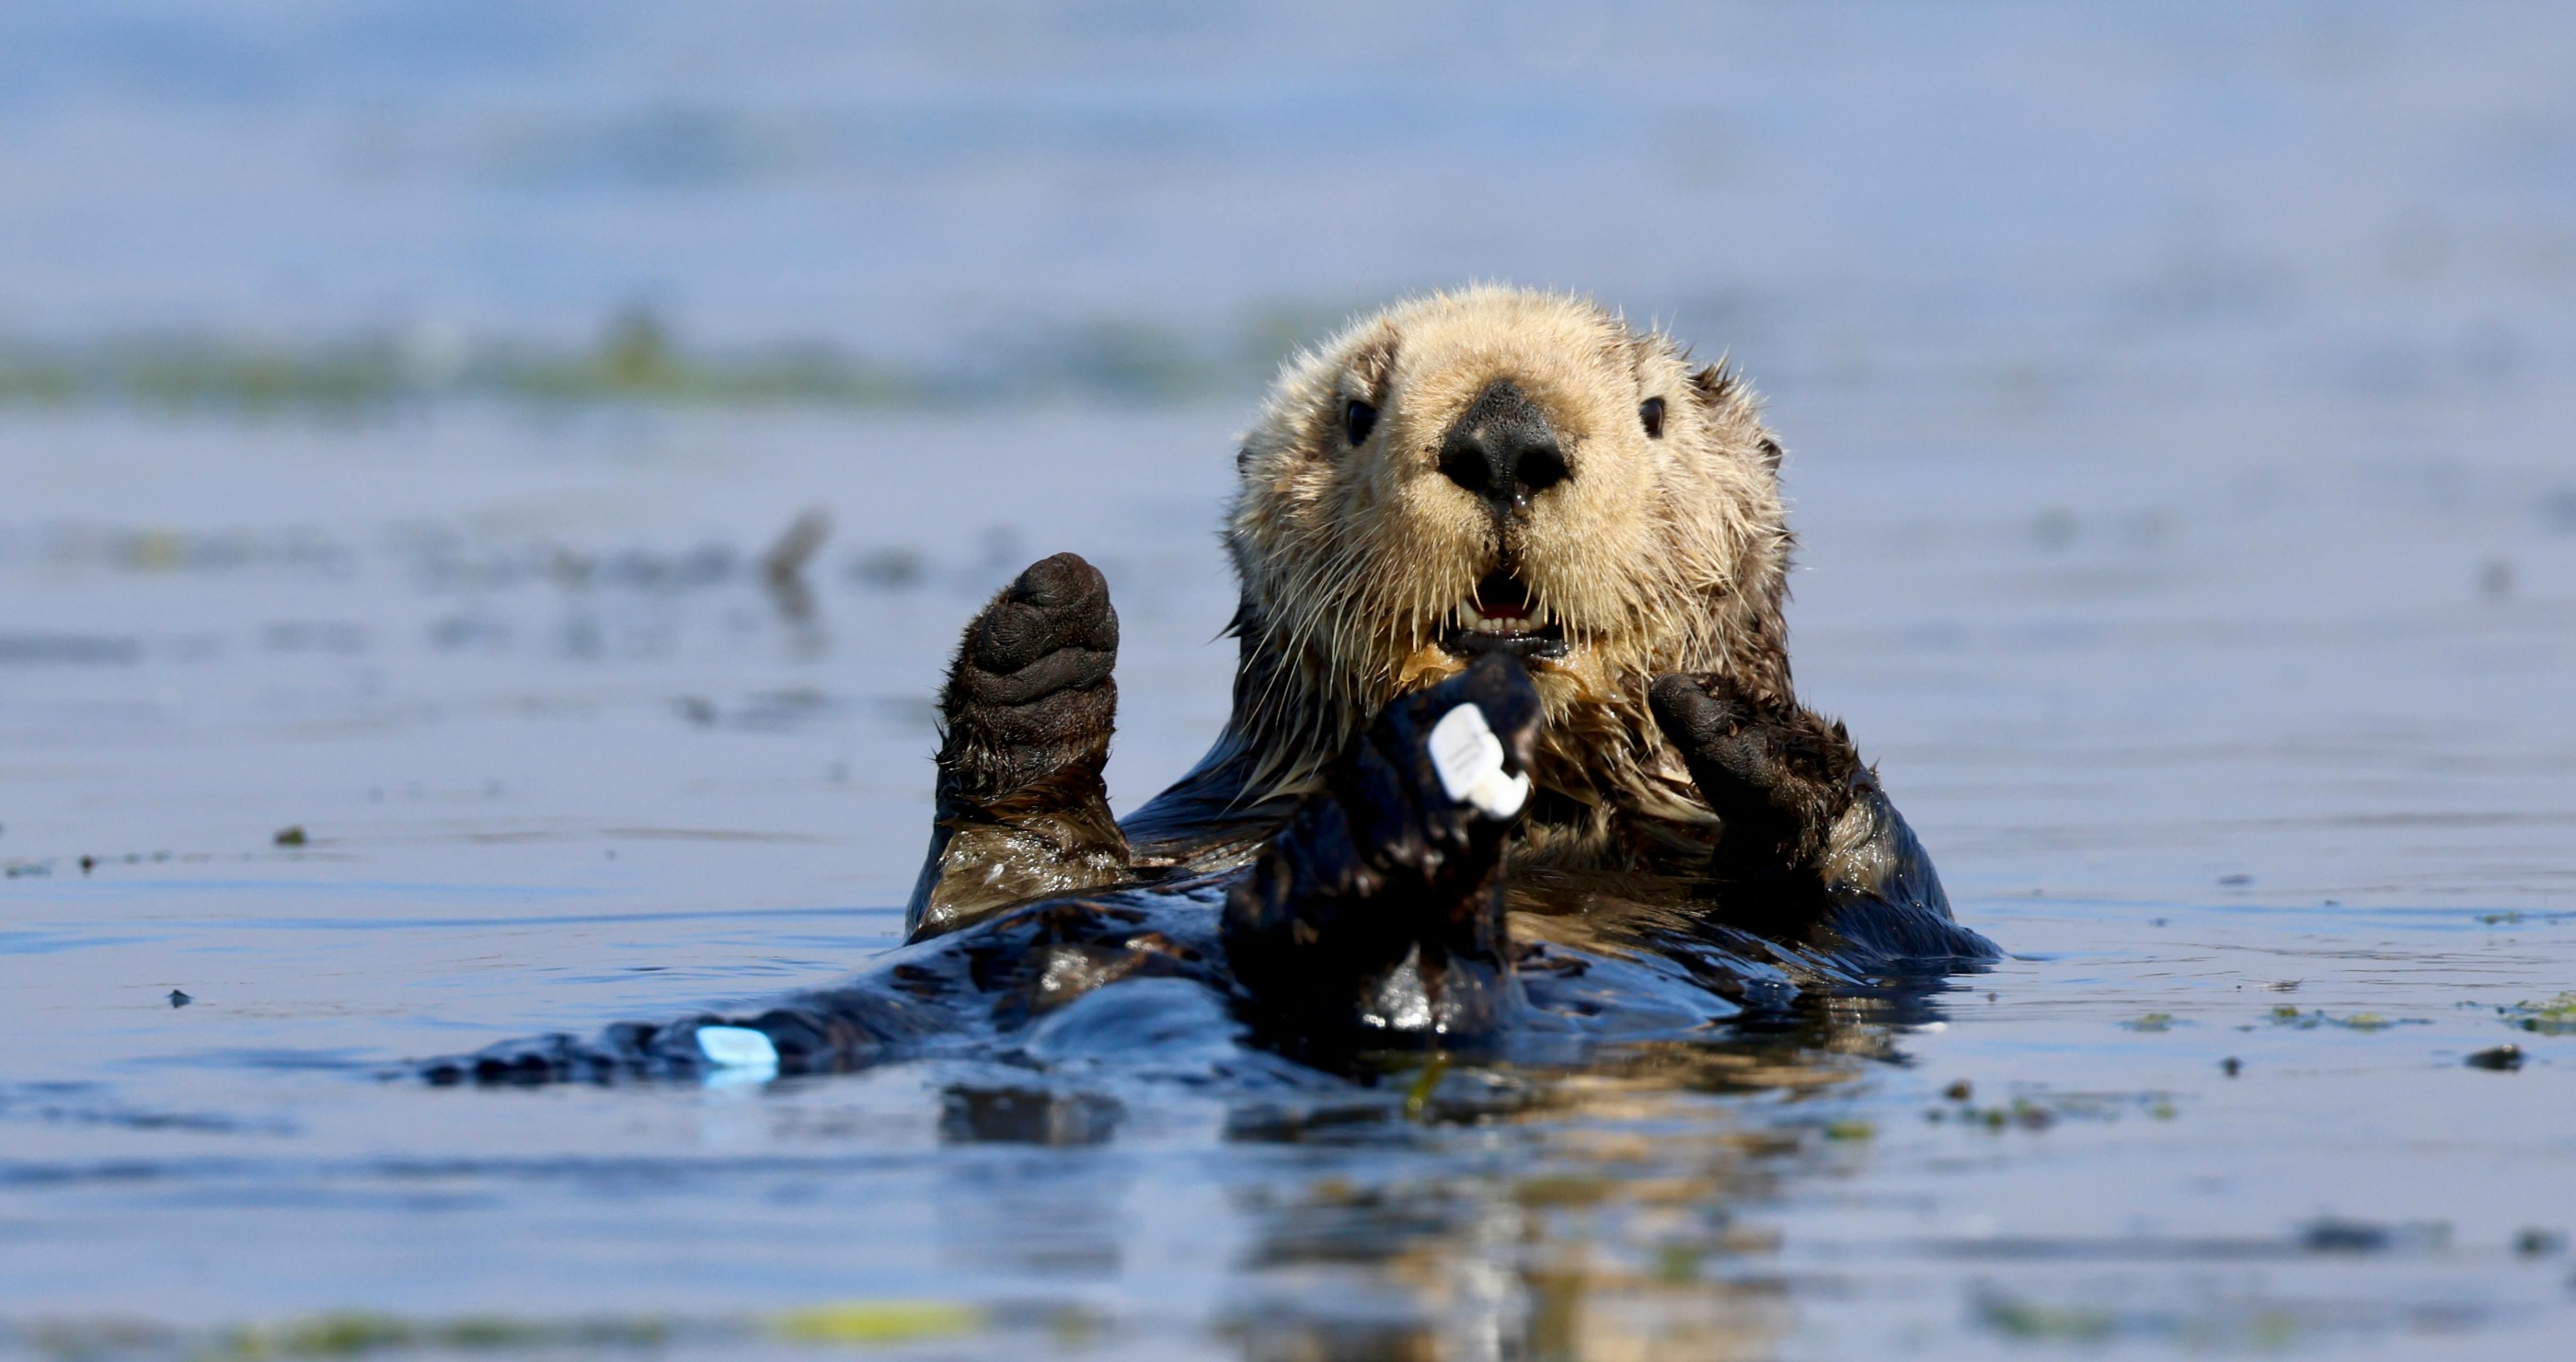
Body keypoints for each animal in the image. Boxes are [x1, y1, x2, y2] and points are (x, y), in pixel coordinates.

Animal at [429, 288, 1994, 1086]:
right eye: (1358, 411)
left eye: (1655, 413)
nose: (1504, 438)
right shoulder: (1192, 827)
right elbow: (996, 875)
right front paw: (1042, 639)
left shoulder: (1896, 939)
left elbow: (1886, 898)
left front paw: (1750, 725)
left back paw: (1382, 868)